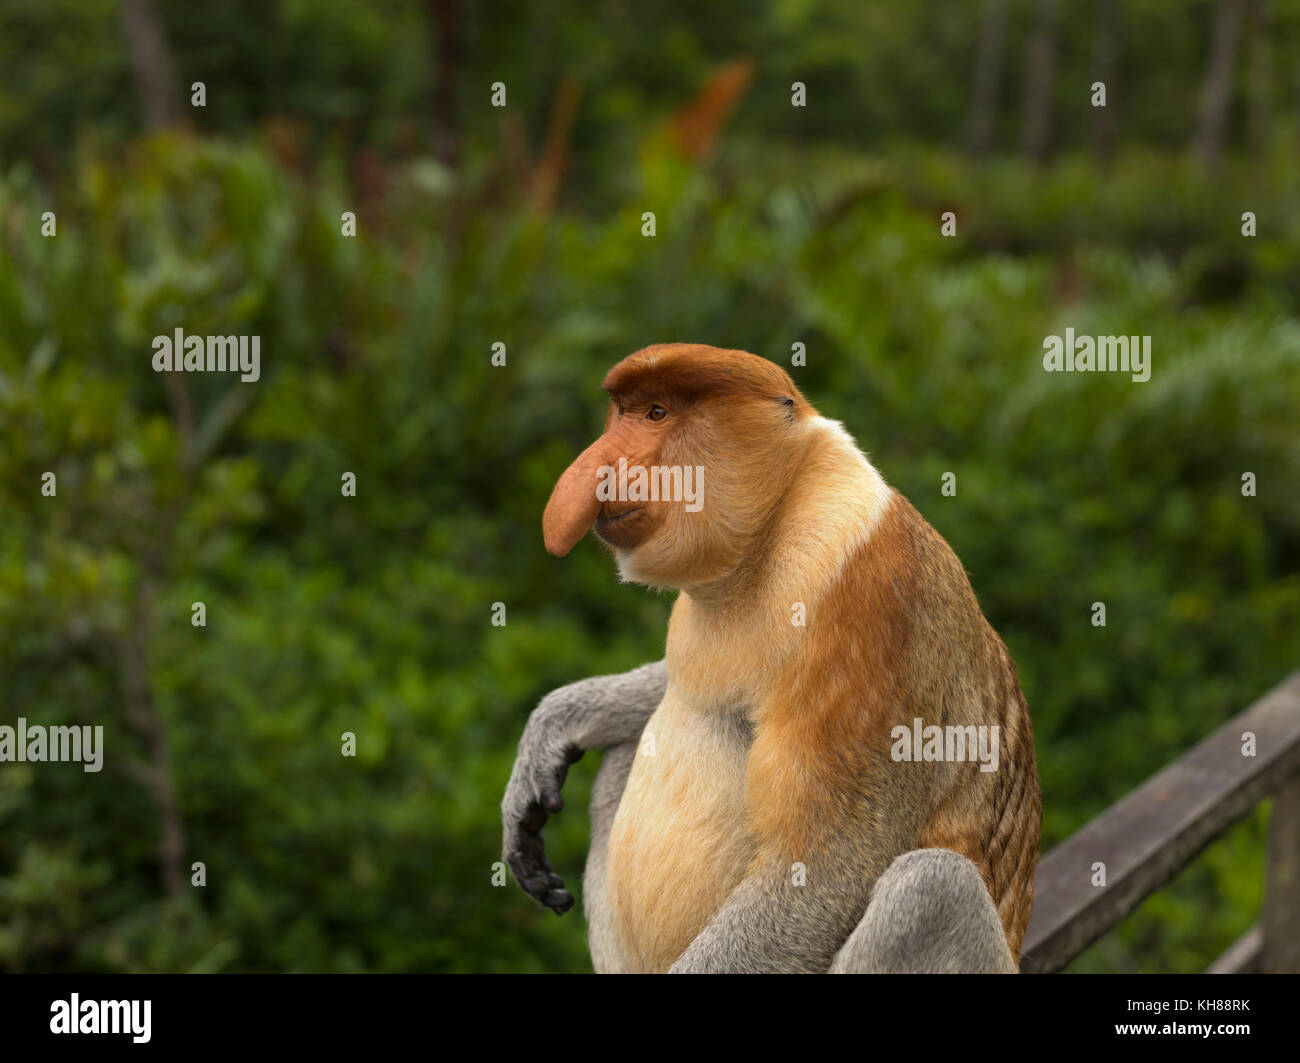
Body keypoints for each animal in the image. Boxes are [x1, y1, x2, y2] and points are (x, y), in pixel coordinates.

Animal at [502, 343, 1040, 973]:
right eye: (623, 414)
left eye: (658, 414)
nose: (598, 468)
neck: (770, 531)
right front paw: (555, 726)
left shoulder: (868, 599)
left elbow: (824, 868)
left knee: (934, 885)